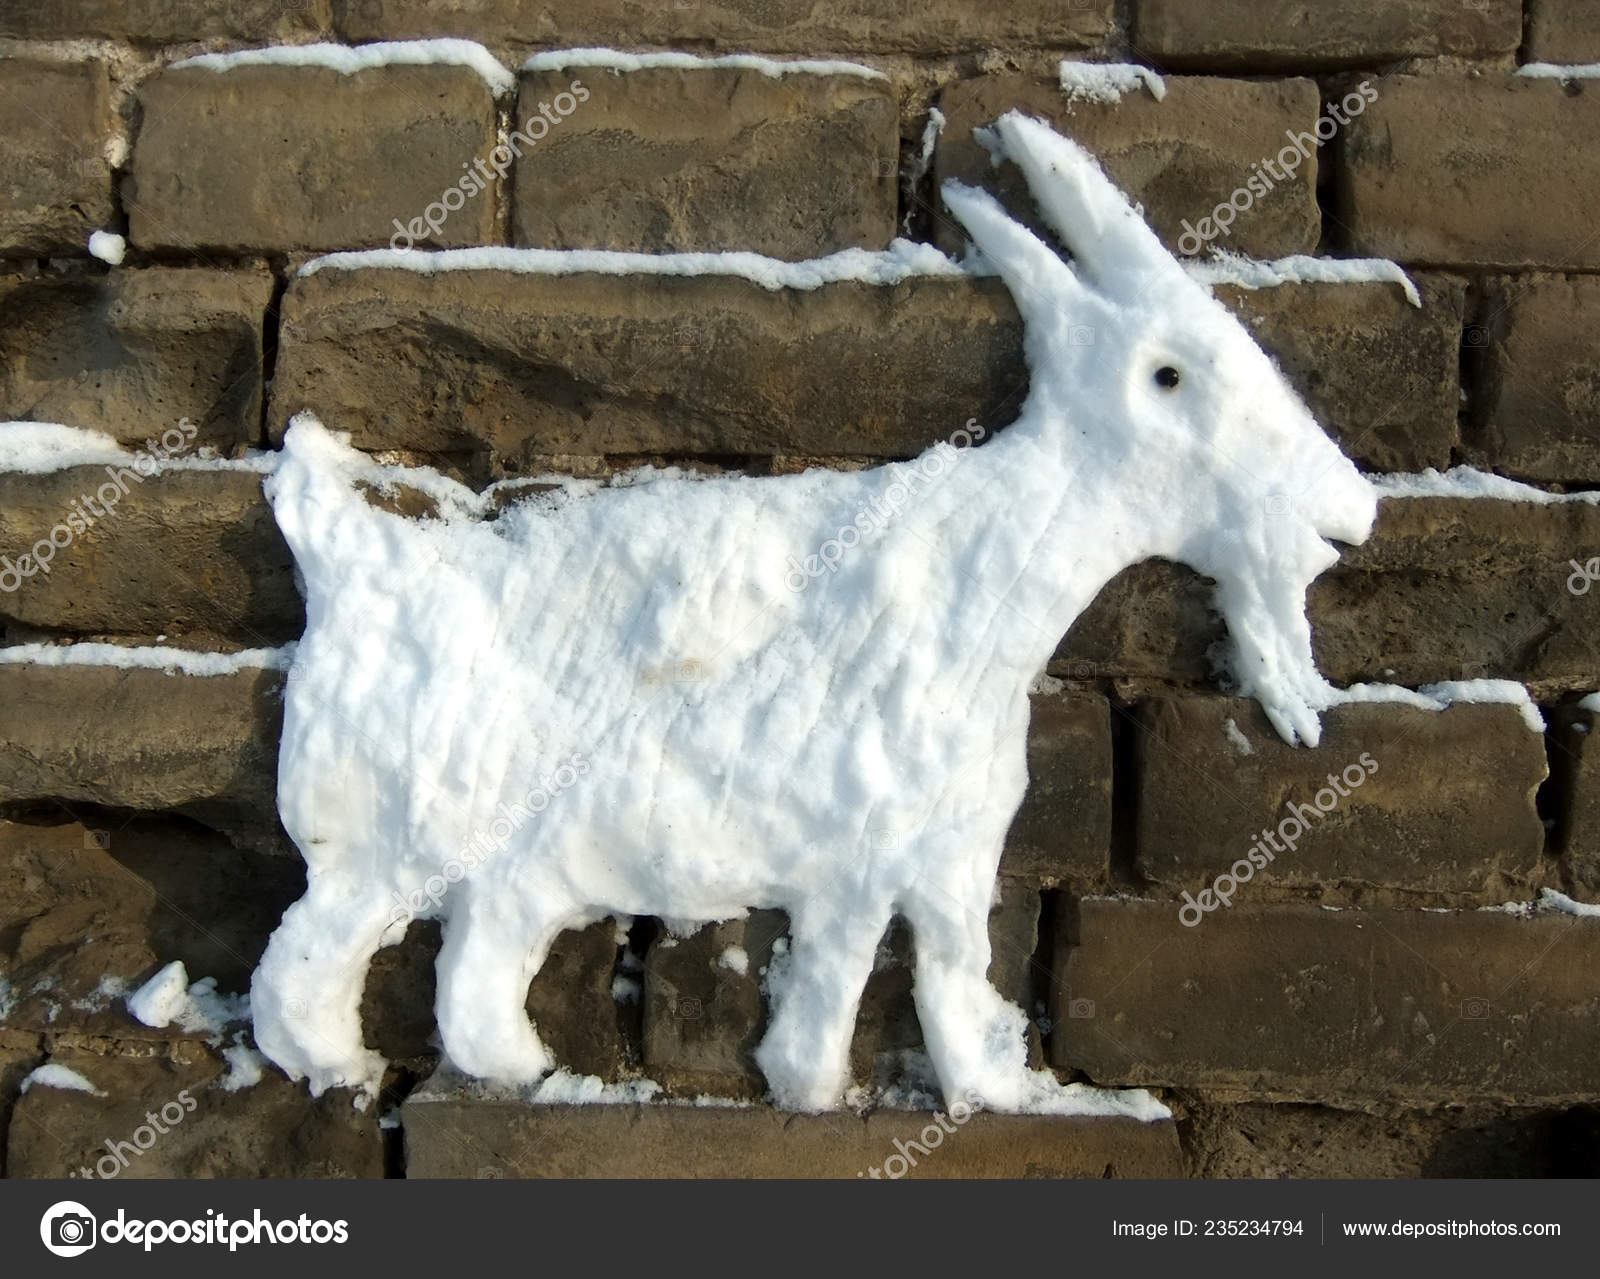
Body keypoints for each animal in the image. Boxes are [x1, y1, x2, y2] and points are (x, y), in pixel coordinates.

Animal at [251, 112, 1377, 1111]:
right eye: (1168, 375)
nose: (1353, 511)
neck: (986, 571)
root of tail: (339, 553)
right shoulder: (854, 862)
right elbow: (838, 980)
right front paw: (810, 1091)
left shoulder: (952, 858)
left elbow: (953, 975)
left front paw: (987, 1092)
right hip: (389, 850)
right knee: (301, 969)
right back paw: (342, 1073)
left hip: (512, 870)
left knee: (472, 981)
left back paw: (521, 1068)